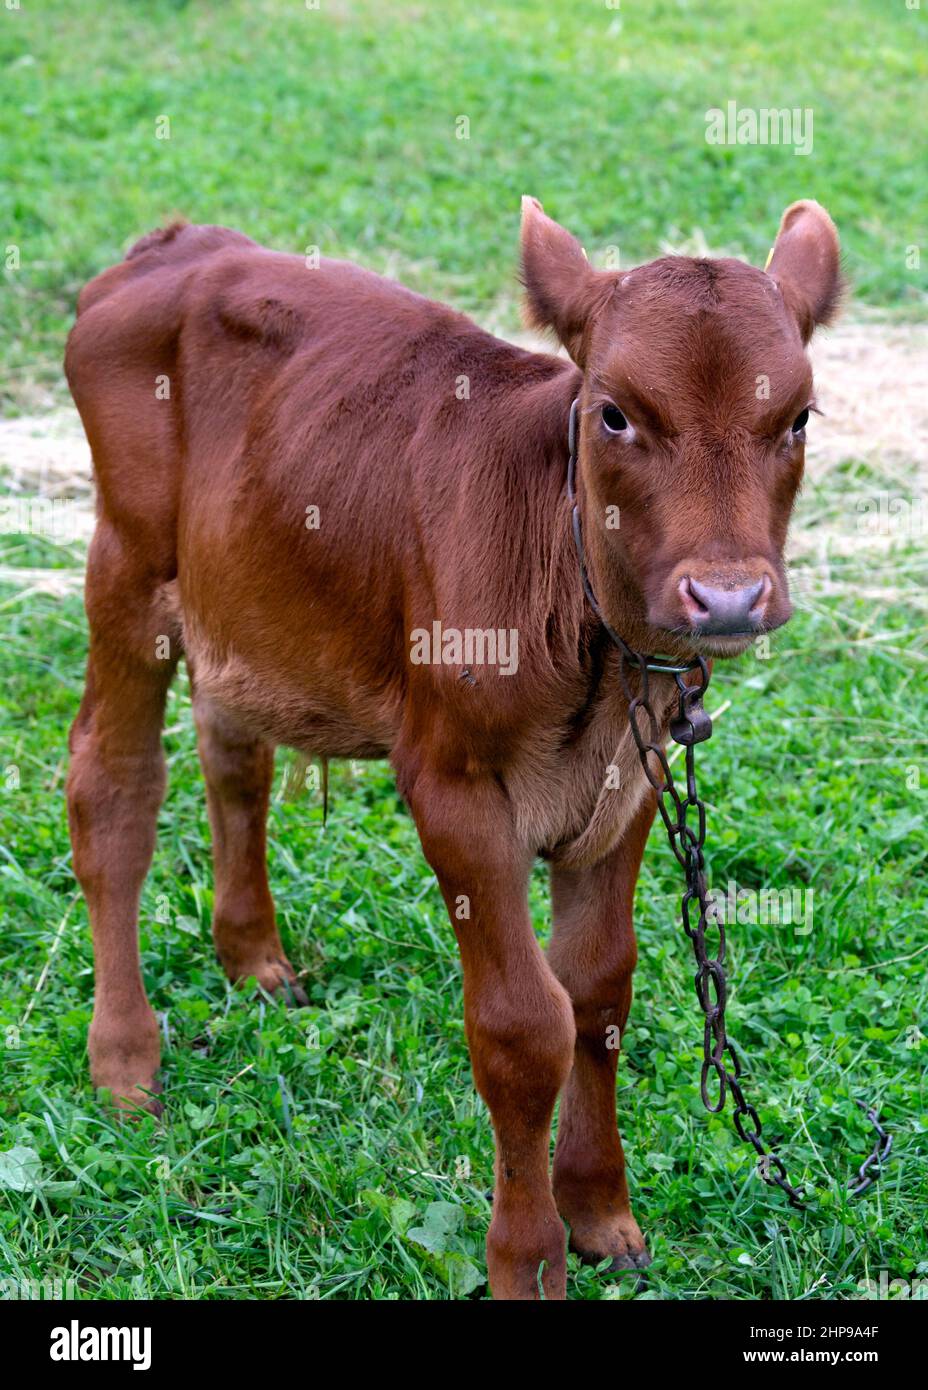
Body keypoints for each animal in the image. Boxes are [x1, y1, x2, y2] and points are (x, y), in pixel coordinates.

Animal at [64, 197, 840, 1299]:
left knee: (233, 753)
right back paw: (126, 1062)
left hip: (242, 599)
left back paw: (254, 957)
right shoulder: (453, 787)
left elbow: (599, 991)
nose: (727, 596)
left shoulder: (629, 791)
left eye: (800, 416)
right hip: (126, 566)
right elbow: (523, 1026)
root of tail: (182, 242)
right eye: (615, 413)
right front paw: (527, 1257)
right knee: (113, 788)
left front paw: (601, 1211)